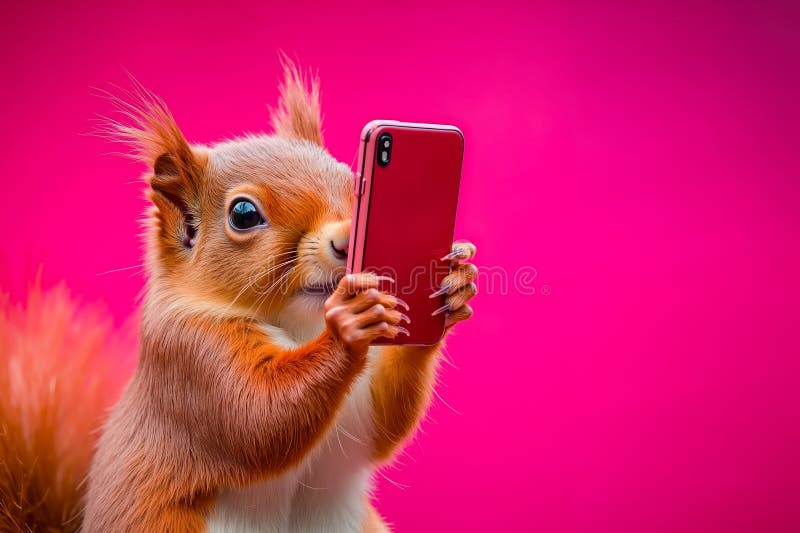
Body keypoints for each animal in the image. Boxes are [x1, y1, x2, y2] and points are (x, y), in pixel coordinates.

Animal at [1, 59, 478, 532]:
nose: (347, 242)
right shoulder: (191, 358)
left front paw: (455, 285)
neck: (300, 328)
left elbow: (380, 424)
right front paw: (349, 323)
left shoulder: (354, 416)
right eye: (244, 214)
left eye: (352, 180)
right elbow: (259, 419)